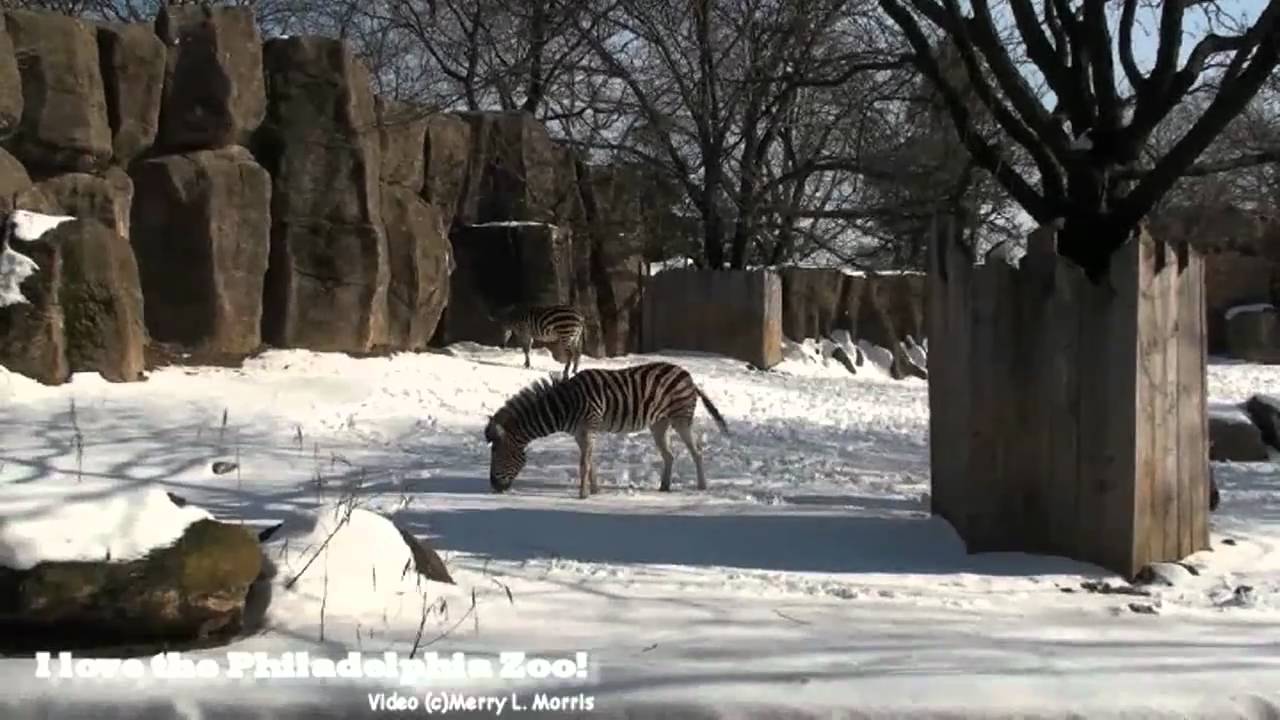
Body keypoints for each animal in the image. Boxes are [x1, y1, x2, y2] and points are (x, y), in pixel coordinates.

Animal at [484, 362, 730, 499]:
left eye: (498, 454)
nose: (494, 488)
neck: (565, 406)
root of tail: (689, 376)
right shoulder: (580, 434)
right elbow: (590, 462)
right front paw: (594, 491)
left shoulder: (589, 428)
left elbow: (584, 463)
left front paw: (582, 495)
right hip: (659, 424)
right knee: (669, 455)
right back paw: (664, 487)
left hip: (681, 419)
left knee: (697, 451)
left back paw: (702, 487)